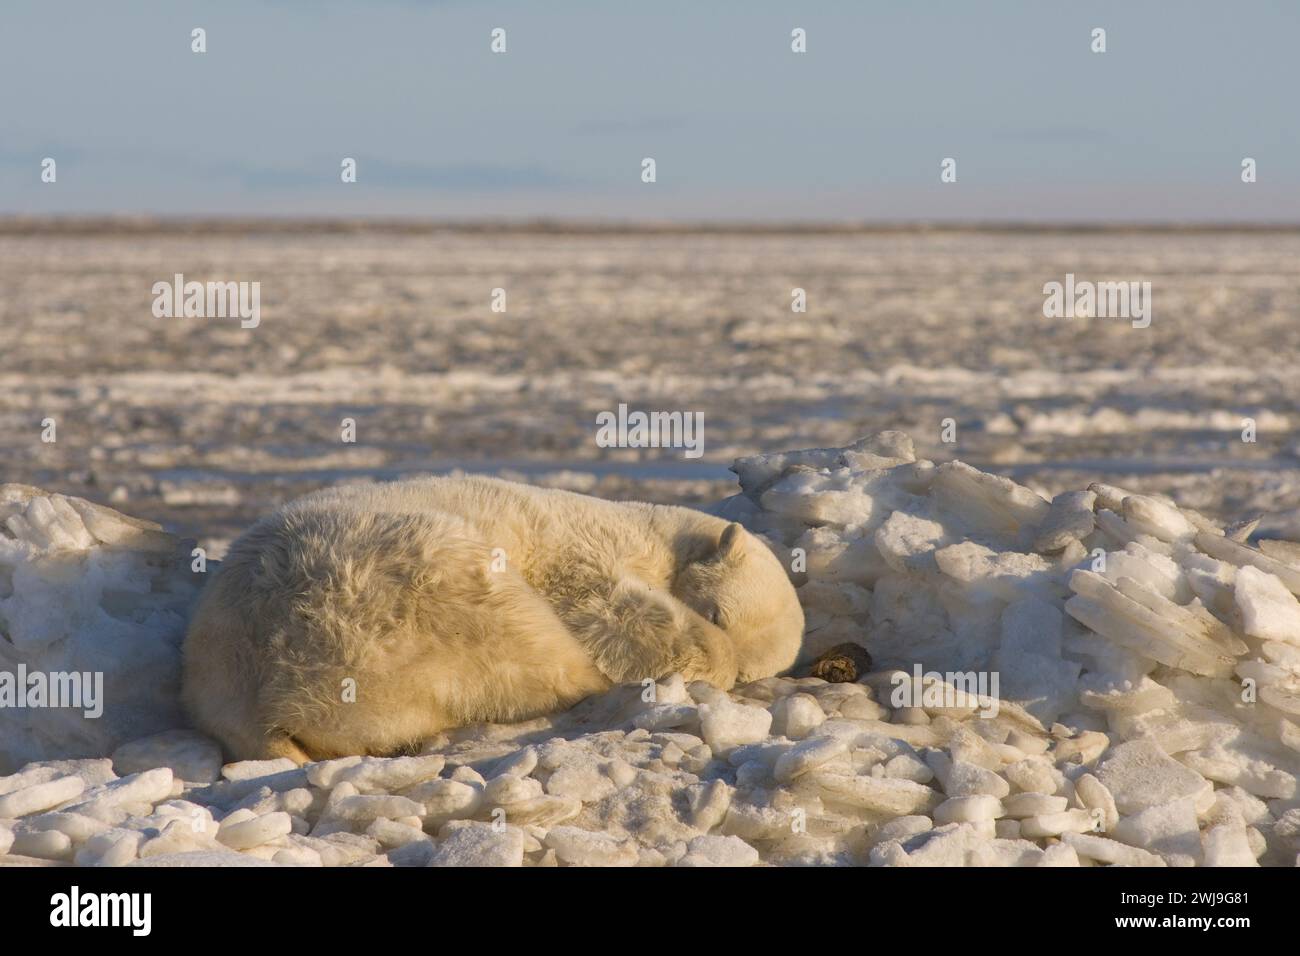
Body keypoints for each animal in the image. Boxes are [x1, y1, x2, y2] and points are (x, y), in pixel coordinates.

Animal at [181, 476, 805, 764]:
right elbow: (607, 606)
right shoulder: (578, 548)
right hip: (405, 594)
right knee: (522, 638)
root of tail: (259, 703)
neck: (647, 530)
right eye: (717, 609)